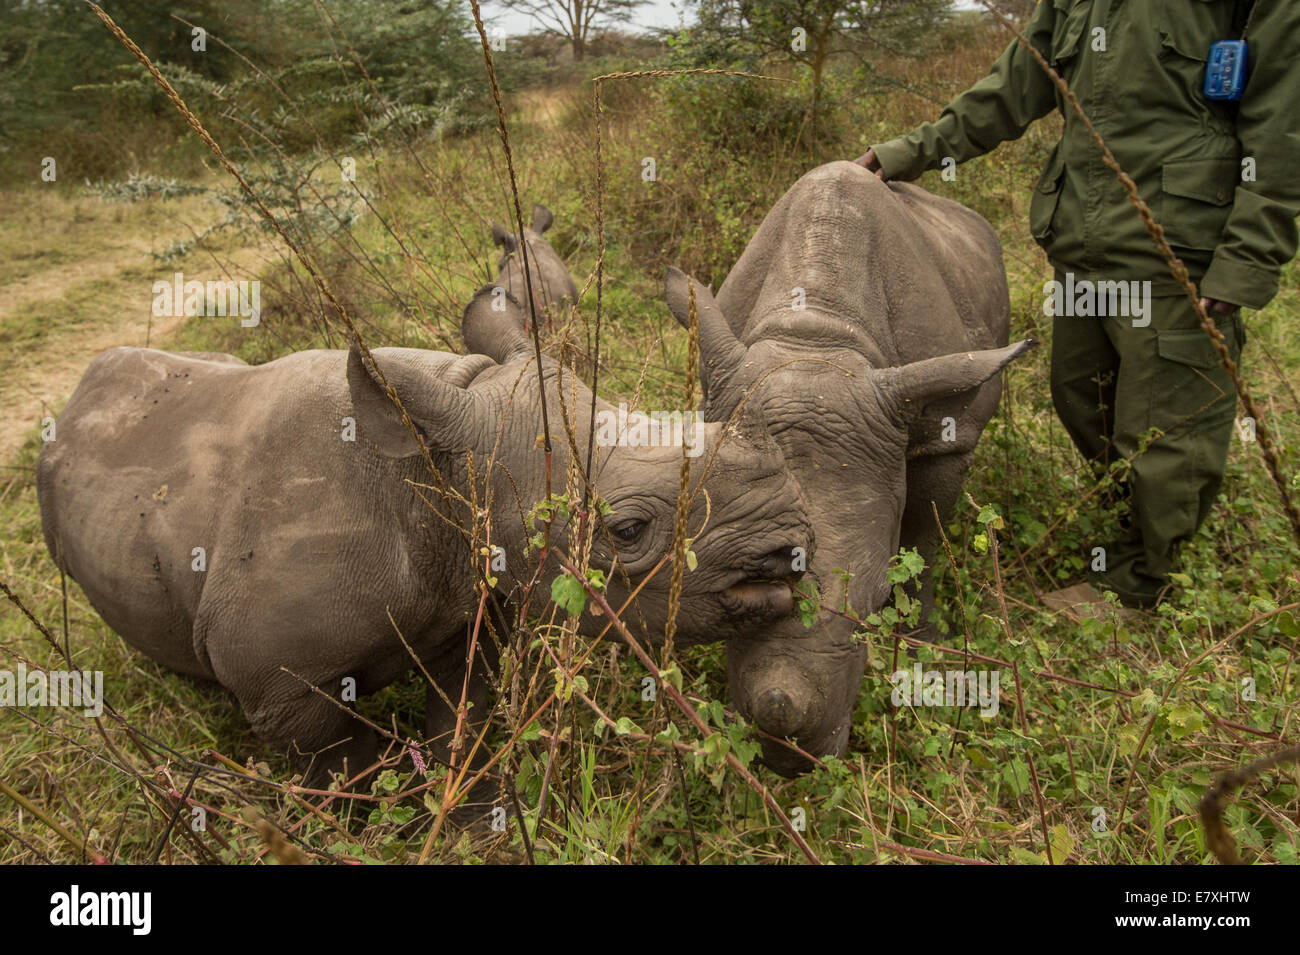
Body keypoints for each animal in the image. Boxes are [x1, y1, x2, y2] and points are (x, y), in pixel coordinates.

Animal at [37, 287, 811, 785]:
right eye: (627, 529)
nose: (793, 543)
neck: (444, 468)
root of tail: (73, 397)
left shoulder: (466, 607)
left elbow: (458, 717)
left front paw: (461, 802)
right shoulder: (276, 681)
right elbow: (337, 766)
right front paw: (375, 811)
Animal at [665, 161, 1034, 775]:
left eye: (880, 600)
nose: (788, 760)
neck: (818, 338)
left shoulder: (944, 438)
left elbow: (925, 538)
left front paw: (922, 641)